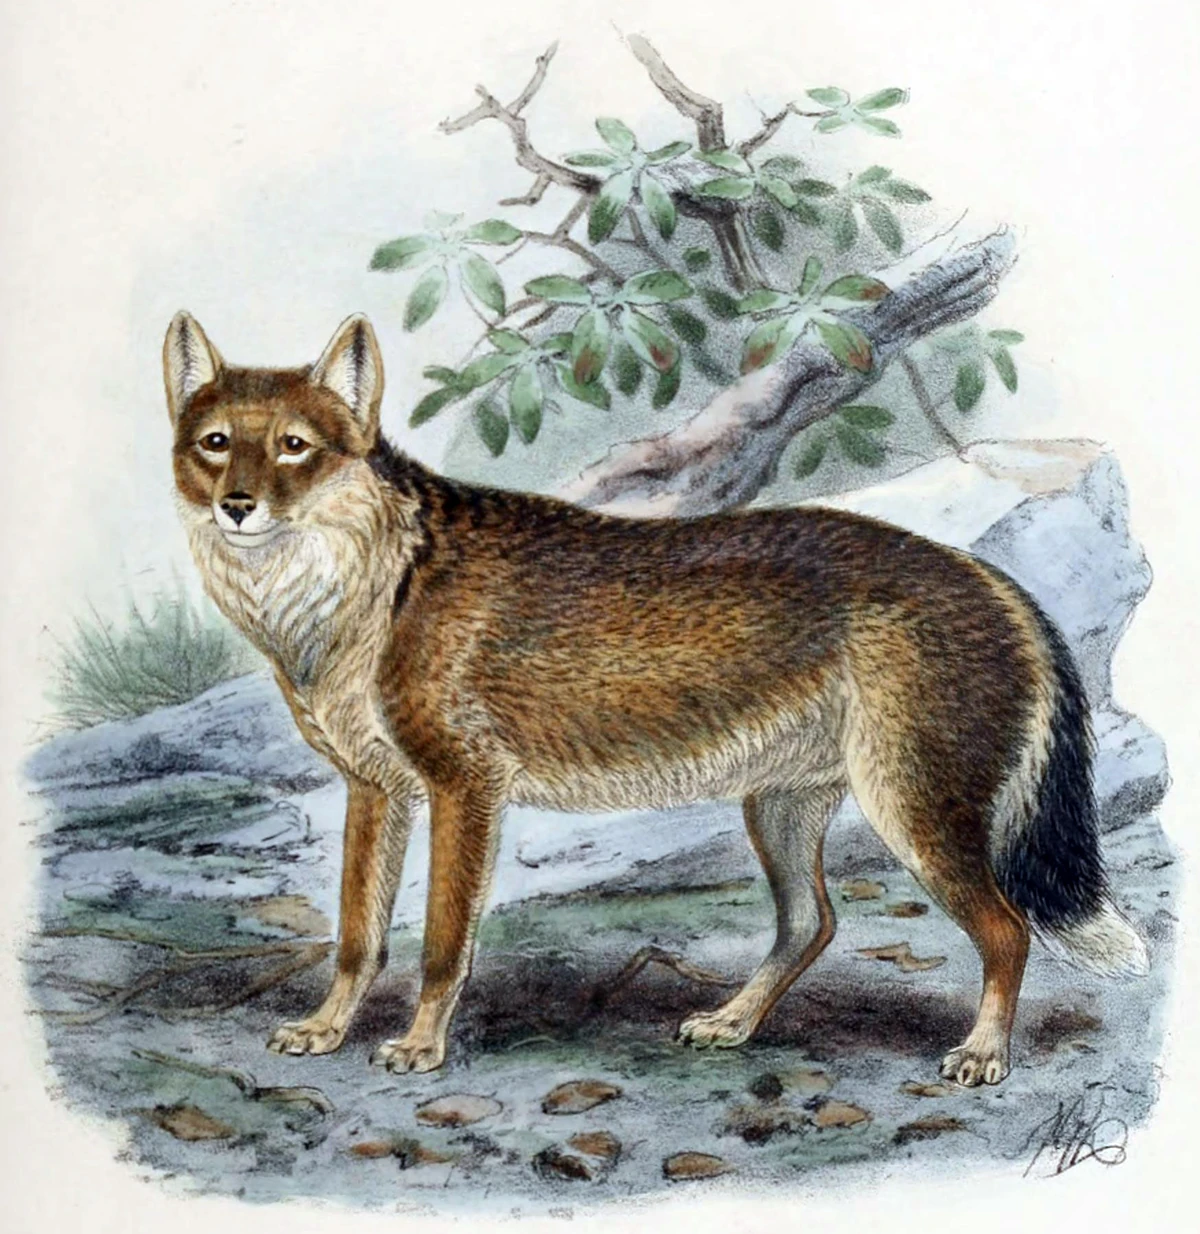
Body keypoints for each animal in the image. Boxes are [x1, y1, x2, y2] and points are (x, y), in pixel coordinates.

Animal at [163, 310, 1149, 1087]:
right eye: (216, 445)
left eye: (295, 446)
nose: (240, 506)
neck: (372, 587)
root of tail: (994, 579)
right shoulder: (375, 793)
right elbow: (356, 937)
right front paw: (326, 1029)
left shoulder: (463, 789)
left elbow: (442, 945)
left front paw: (420, 1047)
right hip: (782, 810)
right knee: (812, 923)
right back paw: (733, 1023)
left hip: (911, 813)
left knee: (1007, 929)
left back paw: (983, 1054)